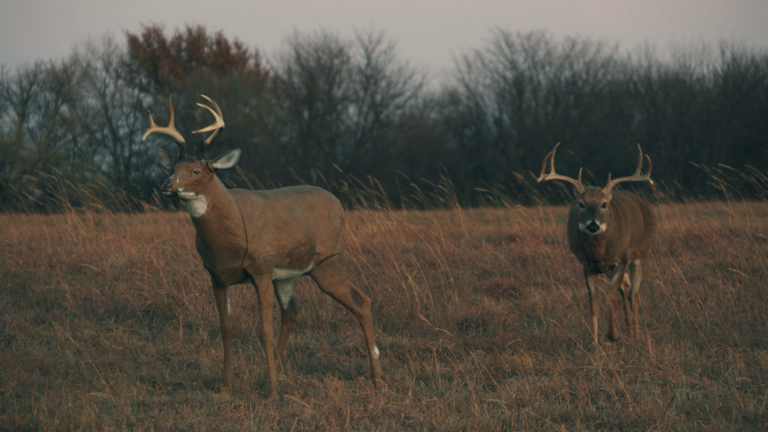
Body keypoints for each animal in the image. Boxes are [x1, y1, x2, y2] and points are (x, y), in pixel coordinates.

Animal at [143, 95, 384, 398]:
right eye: (173, 168)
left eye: (196, 170)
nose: (166, 184)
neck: (230, 236)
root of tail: (339, 204)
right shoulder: (216, 276)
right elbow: (226, 328)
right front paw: (226, 386)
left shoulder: (261, 267)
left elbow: (264, 330)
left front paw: (272, 394)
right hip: (289, 275)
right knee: (293, 313)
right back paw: (277, 371)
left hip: (329, 261)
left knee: (362, 302)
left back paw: (377, 377)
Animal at [538, 143, 656, 344]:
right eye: (581, 203)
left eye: (604, 204)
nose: (593, 225)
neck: (598, 252)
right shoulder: (588, 266)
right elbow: (593, 305)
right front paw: (594, 343)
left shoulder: (620, 260)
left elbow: (610, 299)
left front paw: (612, 335)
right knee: (627, 291)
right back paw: (629, 331)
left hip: (641, 253)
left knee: (634, 294)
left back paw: (636, 336)